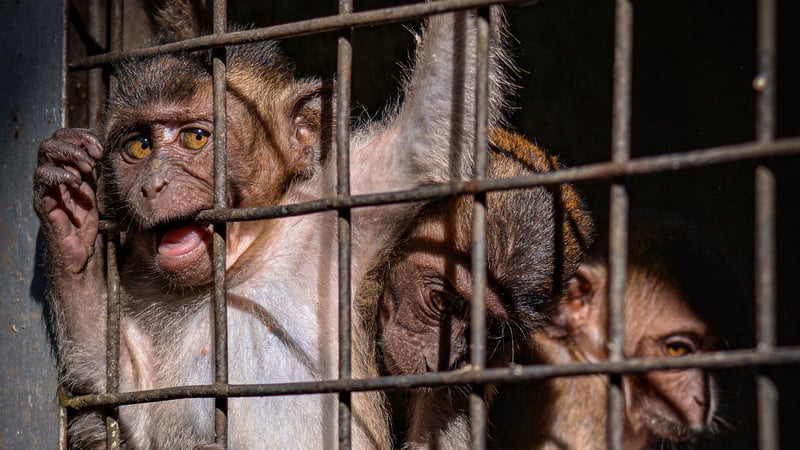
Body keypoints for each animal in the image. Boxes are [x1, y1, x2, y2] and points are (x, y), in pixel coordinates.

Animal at [32, 1, 517, 448]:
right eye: (139, 146)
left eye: (195, 137)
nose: (153, 185)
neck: (241, 263)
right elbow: (123, 394)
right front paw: (69, 223)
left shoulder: (333, 210)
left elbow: (429, 125)